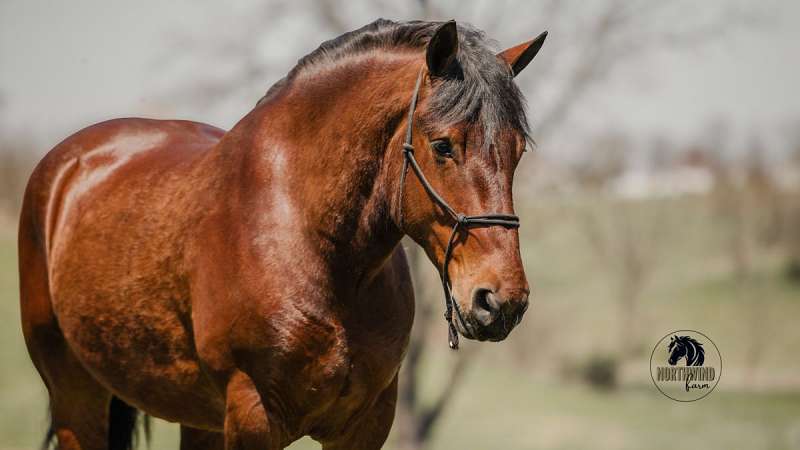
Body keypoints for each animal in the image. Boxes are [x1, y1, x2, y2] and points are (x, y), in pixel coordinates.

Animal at [18, 19, 546, 450]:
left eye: (517, 150)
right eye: (442, 146)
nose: (500, 302)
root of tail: (67, 166)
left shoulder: (365, 425)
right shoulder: (253, 417)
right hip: (76, 396)